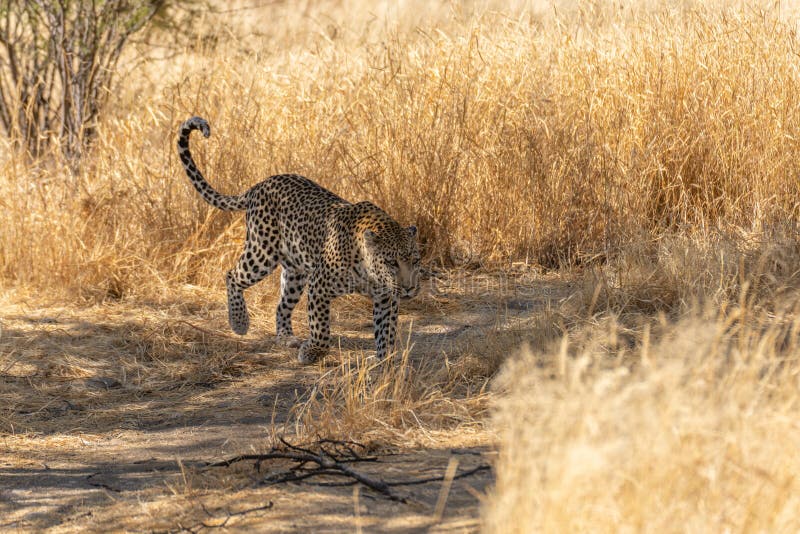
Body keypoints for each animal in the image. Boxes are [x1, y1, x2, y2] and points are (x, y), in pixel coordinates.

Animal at [177, 116, 421, 364]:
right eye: (392, 262)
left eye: (415, 261)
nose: (409, 288)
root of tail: (259, 185)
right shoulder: (319, 285)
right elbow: (321, 328)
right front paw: (313, 352)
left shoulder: (386, 297)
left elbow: (386, 330)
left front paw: (386, 359)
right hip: (261, 253)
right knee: (232, 276)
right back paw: (239, 322)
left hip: (295, 271)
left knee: (281, 305)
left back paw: (286, 337)